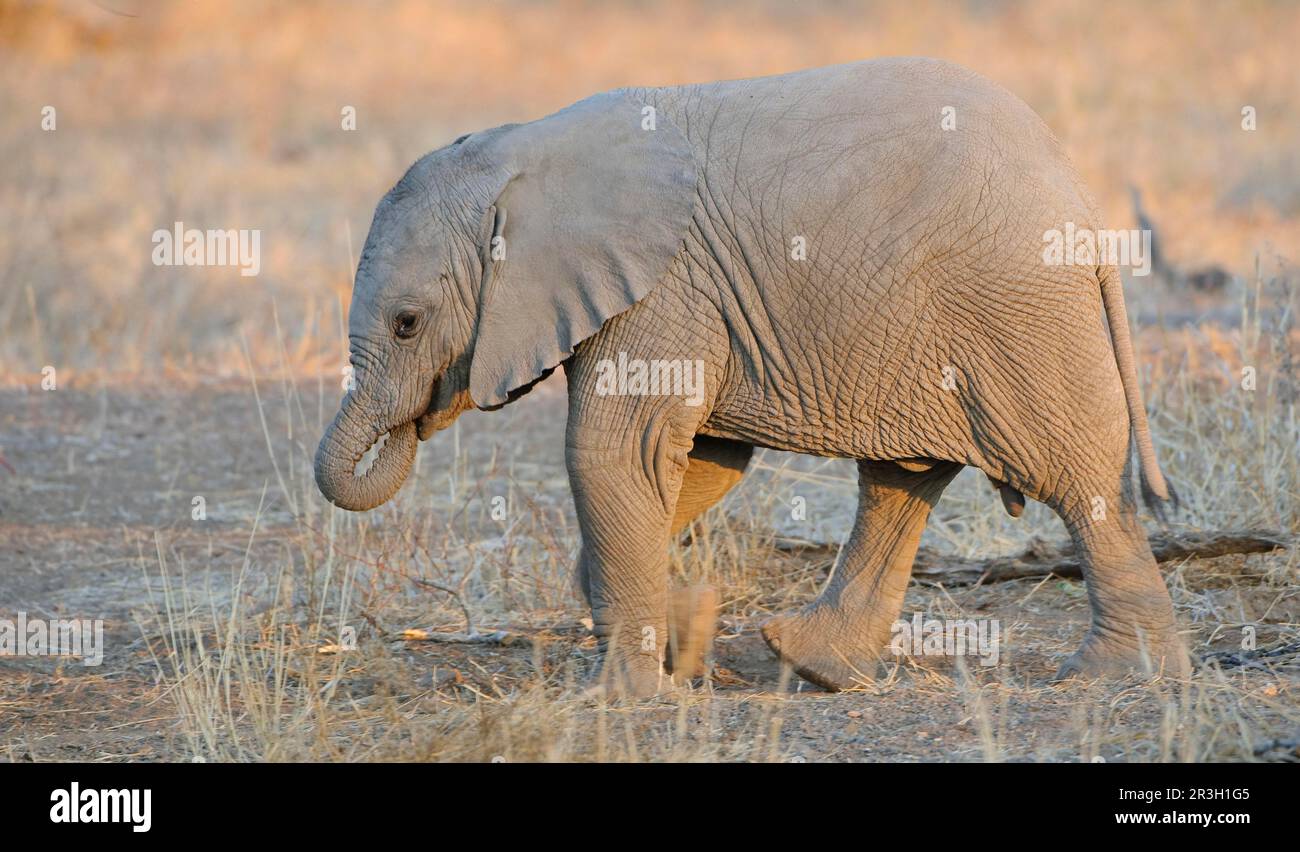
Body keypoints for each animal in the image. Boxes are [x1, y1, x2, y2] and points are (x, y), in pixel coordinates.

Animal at [315, 57, 1186, 696]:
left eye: (407, 323)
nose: (415, 417)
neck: (519, 152)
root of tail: (1081, 201)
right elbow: (698, 461)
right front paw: (676, 623)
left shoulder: (664, 286)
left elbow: (613, 453)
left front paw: (623, 699)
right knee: (904, 479)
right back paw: (811, 665)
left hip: (1013, 312)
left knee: (1075, 479)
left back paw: (1113, 675)